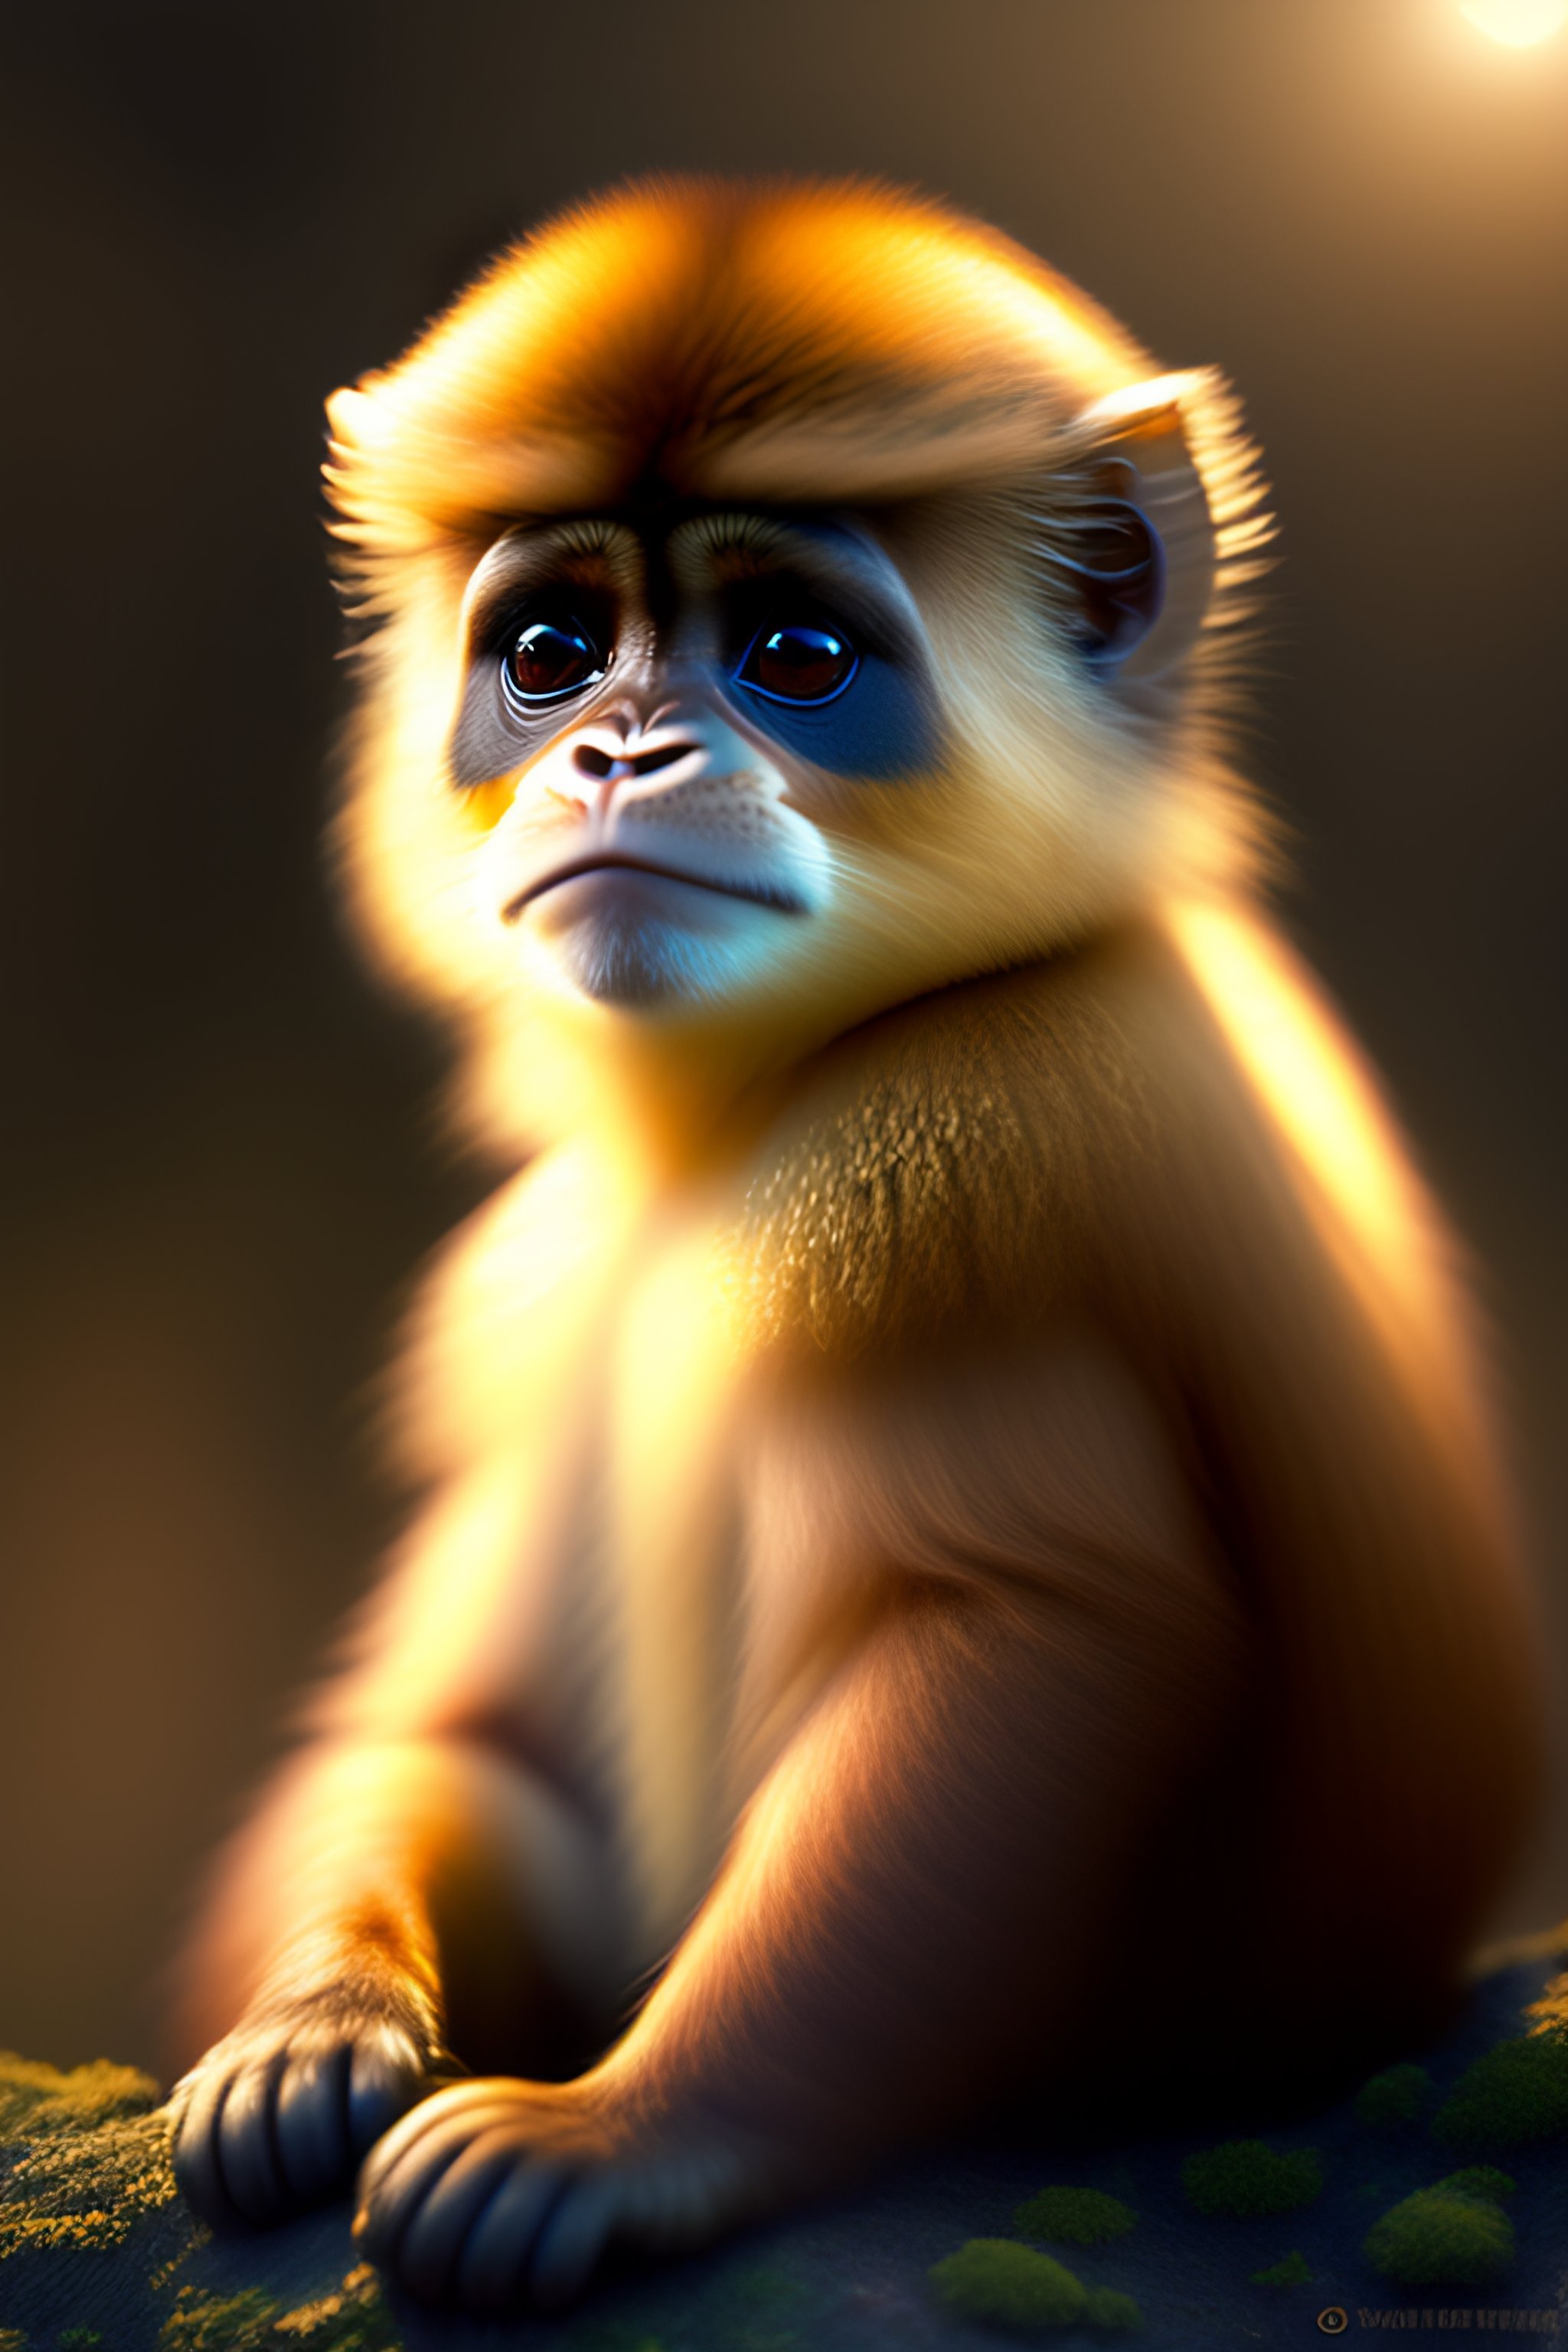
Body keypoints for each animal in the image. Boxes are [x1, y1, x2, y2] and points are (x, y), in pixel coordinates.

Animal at [165, 178, 1549, 2317]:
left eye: (795, 652)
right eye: (553, 650)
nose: (618, 753)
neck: (754, 1101)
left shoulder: (950, 1160)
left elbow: (1029, 1641)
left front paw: (609, 2137)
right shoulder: (538, 1282)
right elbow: (467, 1728)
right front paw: (310, 2031)